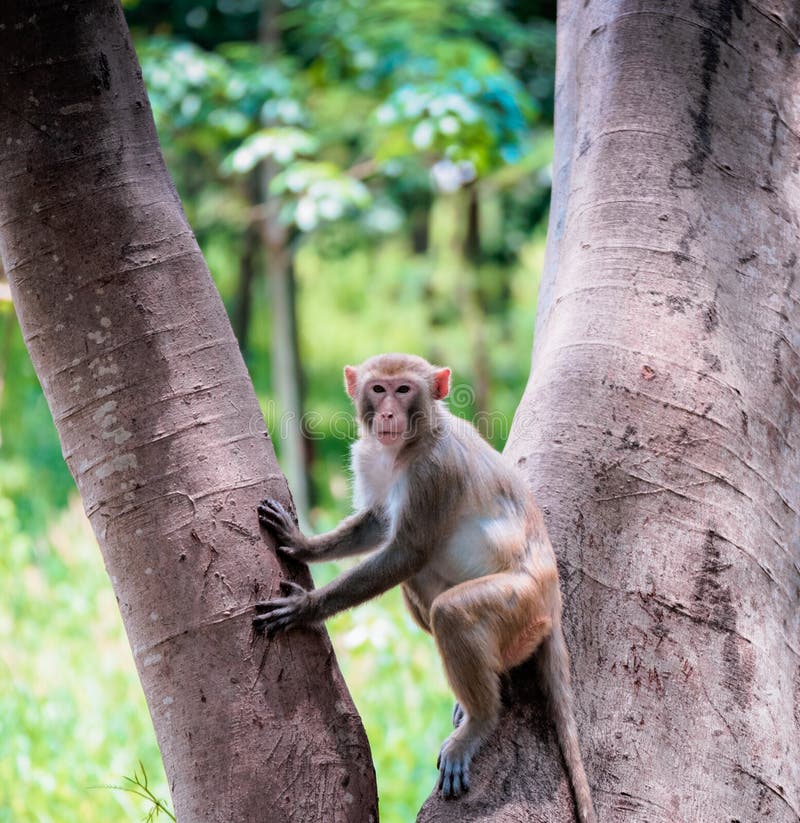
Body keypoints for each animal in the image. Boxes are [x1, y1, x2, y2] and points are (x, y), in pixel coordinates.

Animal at [253, 353, 596, 822]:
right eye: (378, 389)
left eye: (404, 390)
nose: (388, 414)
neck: (404, 448)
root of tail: (554, 601)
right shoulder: (368, 458)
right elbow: (379, 526)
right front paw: (302, 543)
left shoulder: (434, 471)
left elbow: (407, 551)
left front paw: (307, 606)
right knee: (418, 584)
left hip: (524, 606)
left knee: (451, 611)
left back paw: (480, 720)